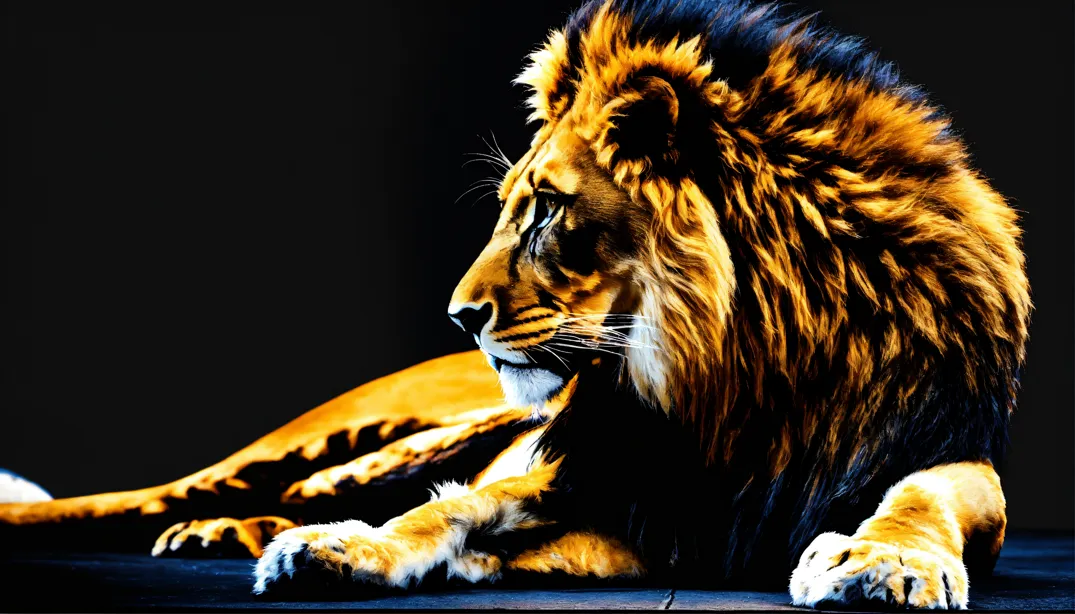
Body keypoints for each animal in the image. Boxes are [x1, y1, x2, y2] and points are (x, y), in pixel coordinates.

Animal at [1, 0, 1030, 609]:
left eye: (546, 209)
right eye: (511, 204)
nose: (459, 317)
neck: (733, 376)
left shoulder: (933, 453)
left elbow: (926, 493)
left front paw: (885, 560)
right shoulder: (592, 471)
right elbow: (453, 507)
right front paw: (338, 552)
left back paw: (220, 534)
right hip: (336, 446)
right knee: (156, 498)